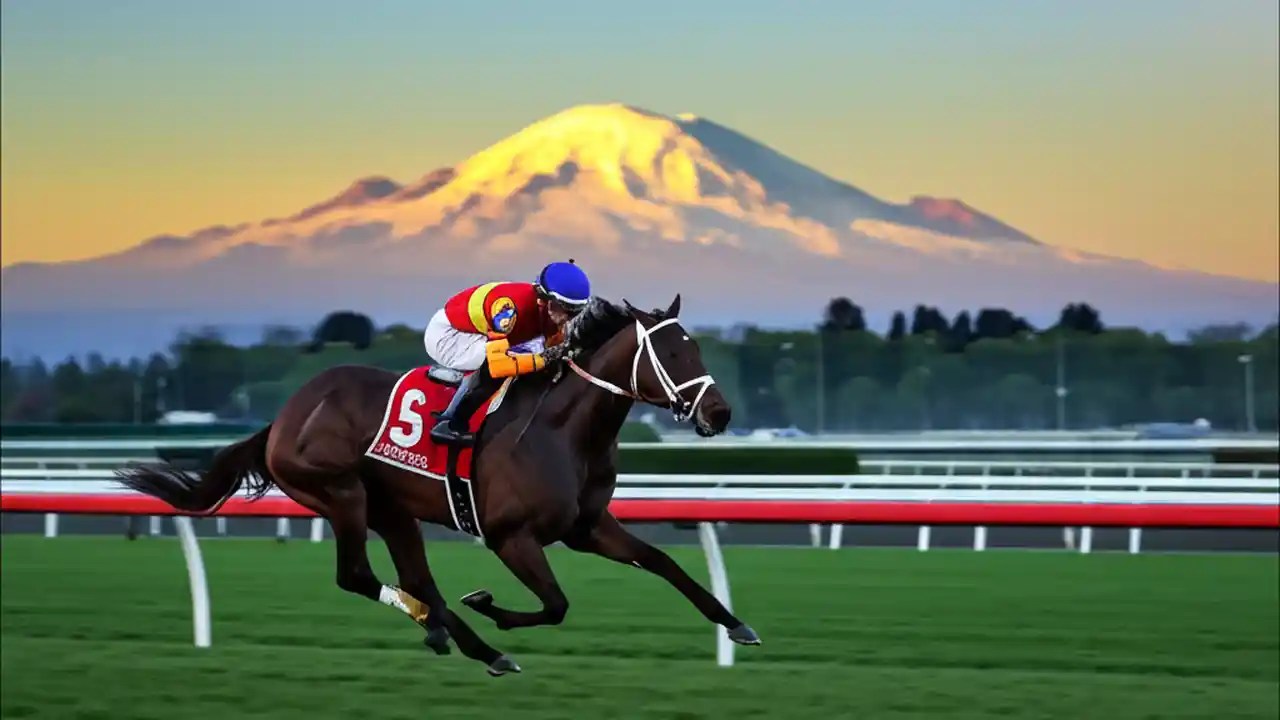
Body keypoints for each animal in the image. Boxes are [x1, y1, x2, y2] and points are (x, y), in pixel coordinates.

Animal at [115, 294, 761, 676]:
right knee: (358, 576)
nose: (720, 413)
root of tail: (284, 417)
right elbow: (555, 605)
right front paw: (491, 608)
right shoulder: (509, 536)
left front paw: (737, 624)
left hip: (392, 510)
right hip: (340, 493)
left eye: (695, 346)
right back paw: (479, 642)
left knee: (414, 578)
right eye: (670, 352)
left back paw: (451, 635)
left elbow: (663, 563)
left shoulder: (587, 526)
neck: (563, 429)